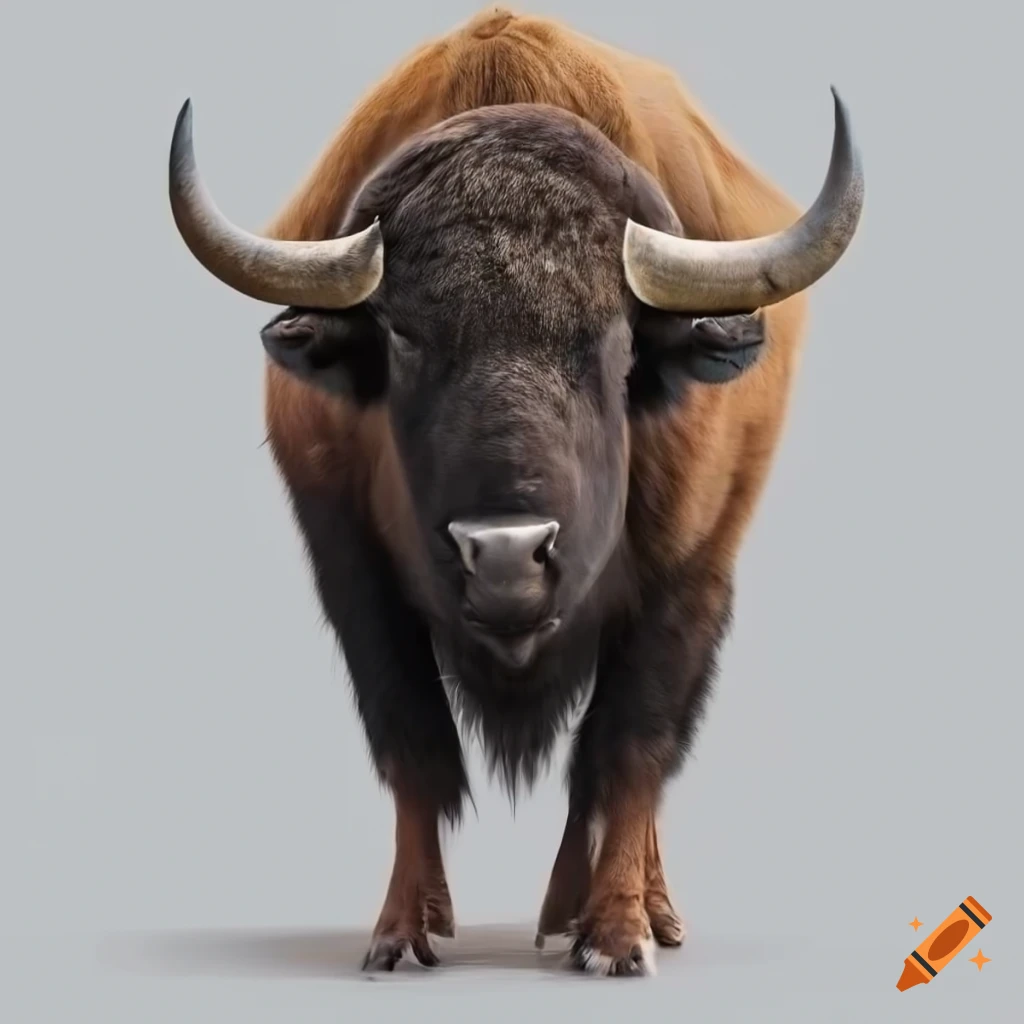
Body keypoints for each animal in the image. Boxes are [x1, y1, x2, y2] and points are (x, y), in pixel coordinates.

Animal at [168, 7, 863, 977]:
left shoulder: (685, 580)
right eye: (403, 335)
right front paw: (400, 933)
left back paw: (617, 915)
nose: (505, 555)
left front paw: (616, 937)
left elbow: (629, 748)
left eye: (615, 337)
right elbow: (414, 743)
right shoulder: (353, 577)